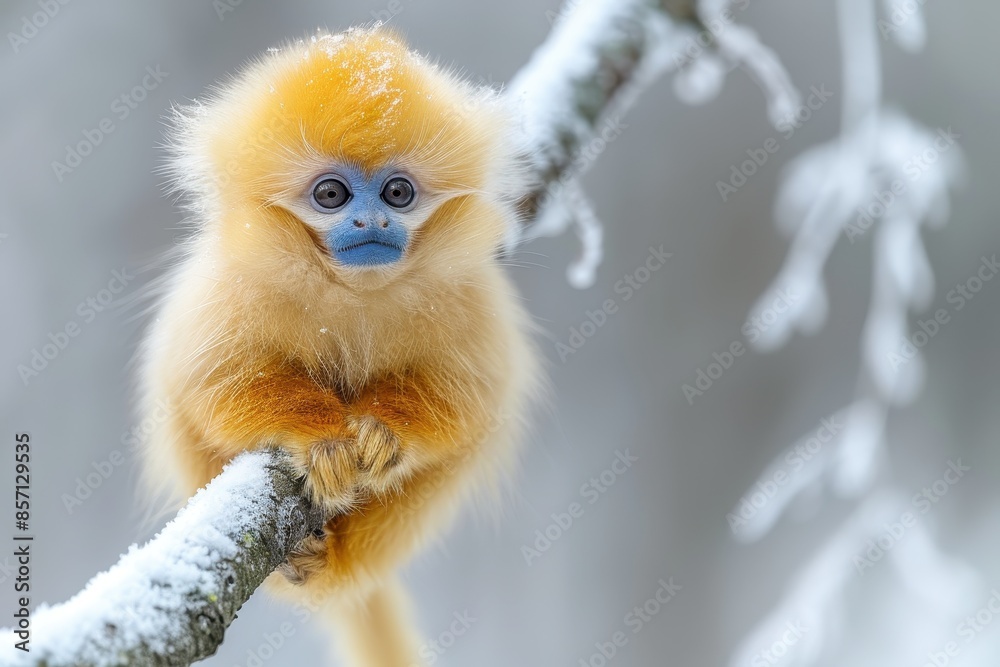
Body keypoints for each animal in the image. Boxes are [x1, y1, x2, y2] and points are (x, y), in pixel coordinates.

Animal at [138, 27, 540, 666]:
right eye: (331, 194)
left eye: (397, 192)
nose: (370, 221)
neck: (355, 293)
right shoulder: (229, 298)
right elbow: (219, 384)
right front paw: (321, 437)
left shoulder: (472, 305)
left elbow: (466, 399)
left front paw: (385, 431)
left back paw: (327, 562)